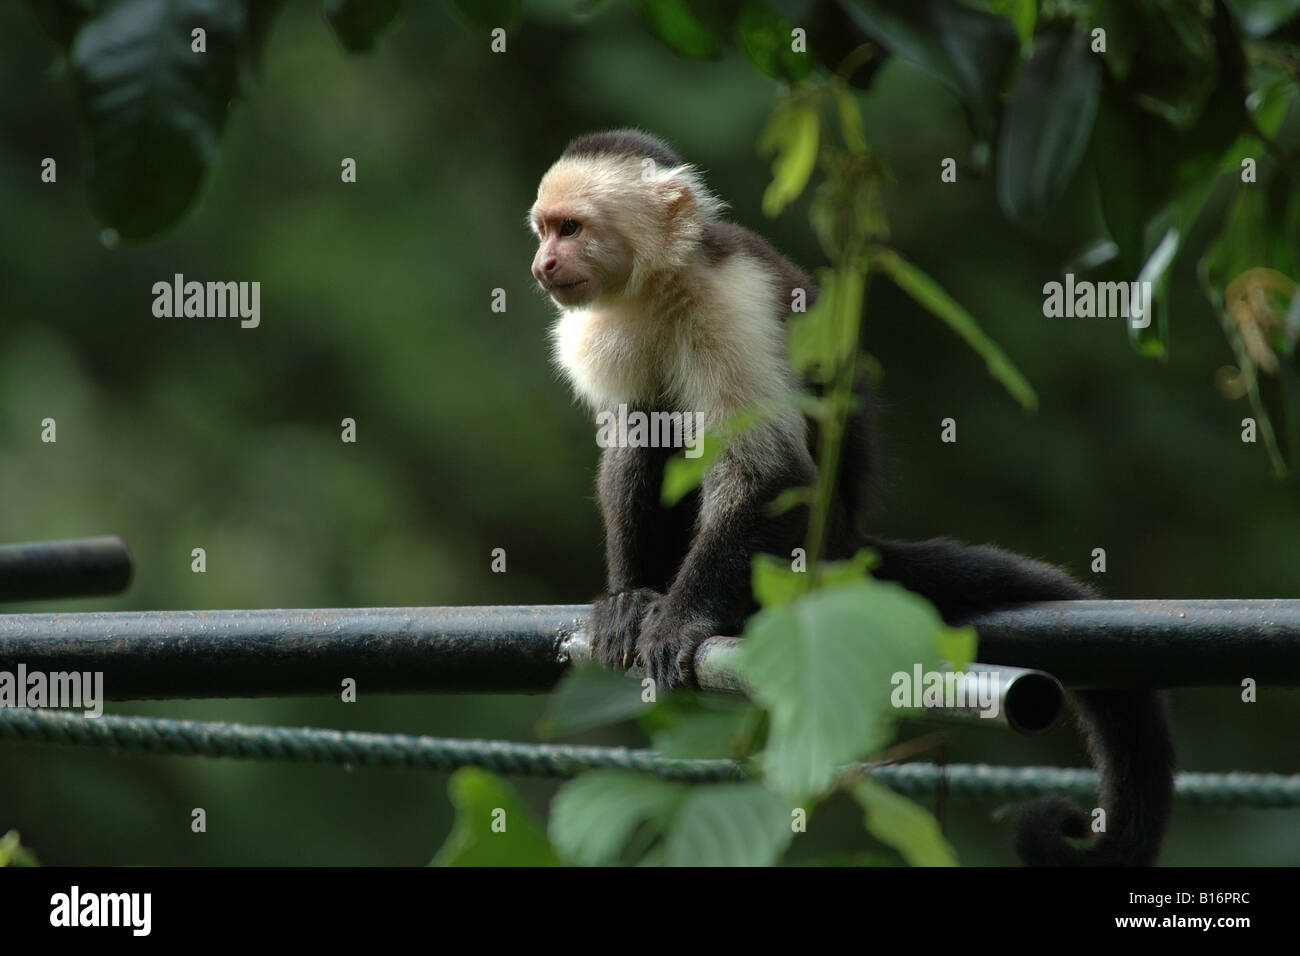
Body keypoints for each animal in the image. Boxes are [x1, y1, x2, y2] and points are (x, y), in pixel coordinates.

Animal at [528, 129, 1175, 867]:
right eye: (544, 230)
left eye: (571, 229)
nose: (543, 263)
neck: (660, 286)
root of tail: (850, 542)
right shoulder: (602, 328)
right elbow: (633, 437)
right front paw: (629, 598)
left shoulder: (730, 299)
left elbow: (767, 471)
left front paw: (682, 619)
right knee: (648, 424)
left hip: (817, 540)